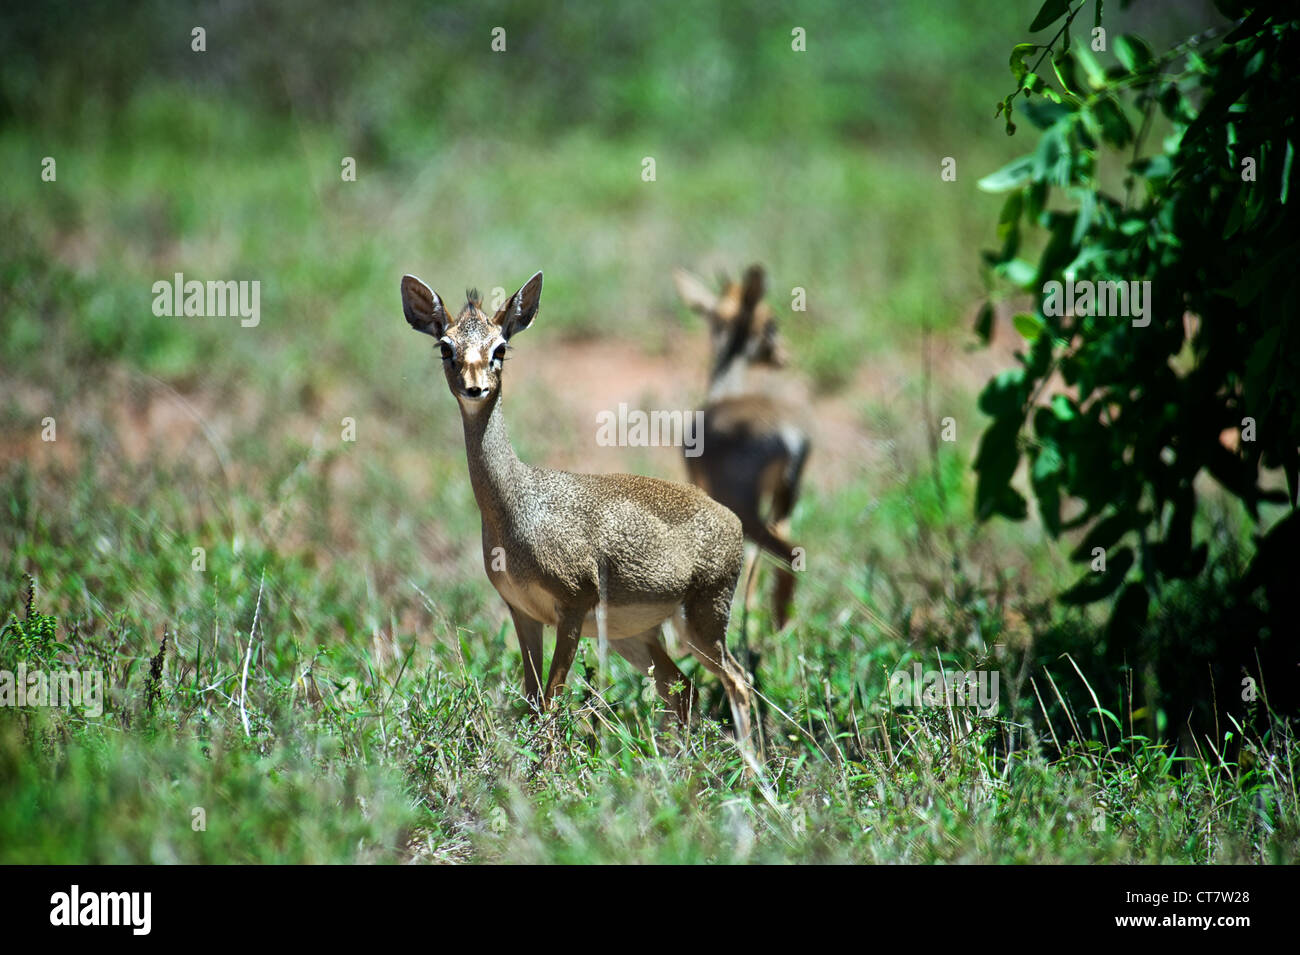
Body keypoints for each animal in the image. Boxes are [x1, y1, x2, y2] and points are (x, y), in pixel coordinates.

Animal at [401, 270, 754, 745]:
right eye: (446, 347)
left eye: (500, 347)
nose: (475, 388)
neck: (519, 506)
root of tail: (732, 520)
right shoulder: (523, 613)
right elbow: (533, 701)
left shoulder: (571, 607)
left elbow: (551, 702)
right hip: (637, 636)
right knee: (682, 689)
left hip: (703, 621)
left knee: (738, 682)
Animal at [673, 265, 810, 630]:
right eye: (771, 323)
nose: (784, 357)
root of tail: (790, 436)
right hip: (782, 502)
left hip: (745, 508)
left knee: (791, 554)